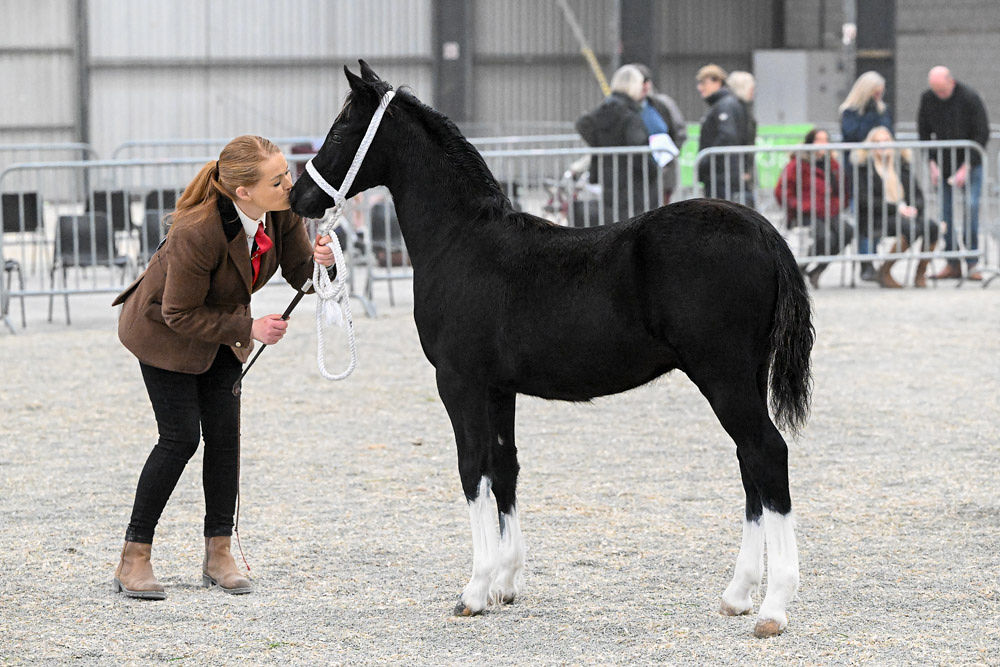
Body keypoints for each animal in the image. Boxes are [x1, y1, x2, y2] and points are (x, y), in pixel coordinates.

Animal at [290, 61, 814, 638]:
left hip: (724, 377)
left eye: (343, 128)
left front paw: (474, 590)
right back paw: (738, 594)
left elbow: (472, 469)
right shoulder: (499, 389)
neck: (463, 242)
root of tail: (762, 230)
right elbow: (505, 467)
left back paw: (772, 608)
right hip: (743, 378)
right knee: (749, 465)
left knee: (767, 454)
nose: (297, 198)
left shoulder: (458, 382)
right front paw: (506, 582)